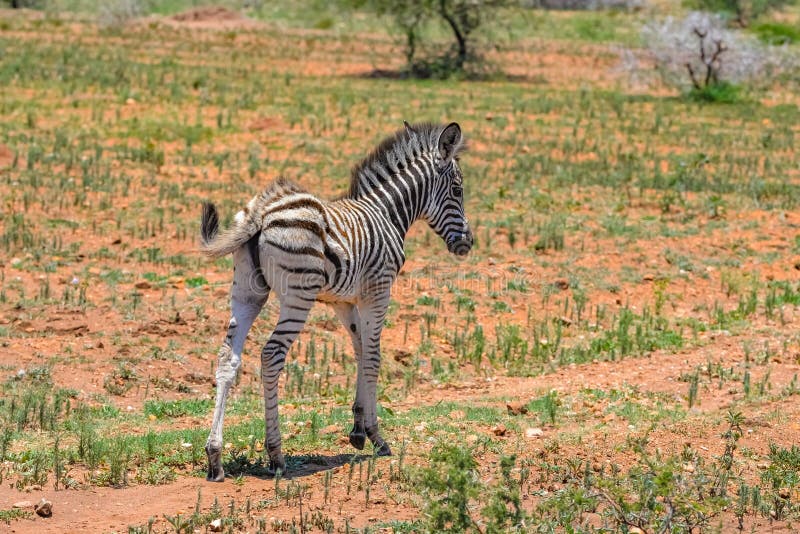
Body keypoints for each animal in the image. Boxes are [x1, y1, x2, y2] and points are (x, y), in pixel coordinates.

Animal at [200, 121, 472, 480]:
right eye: (457, 189)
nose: (467, 244)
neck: (387, 214)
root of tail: (260, 212)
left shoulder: (343, 301)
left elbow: (360, 350)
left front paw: (357, 430)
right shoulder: (378, 290)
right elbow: (373, 357)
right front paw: (376, 437)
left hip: (247, 291)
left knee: (227, 358)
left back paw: (215, 456)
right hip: (297, 297)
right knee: (271, 355)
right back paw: (276, 454)